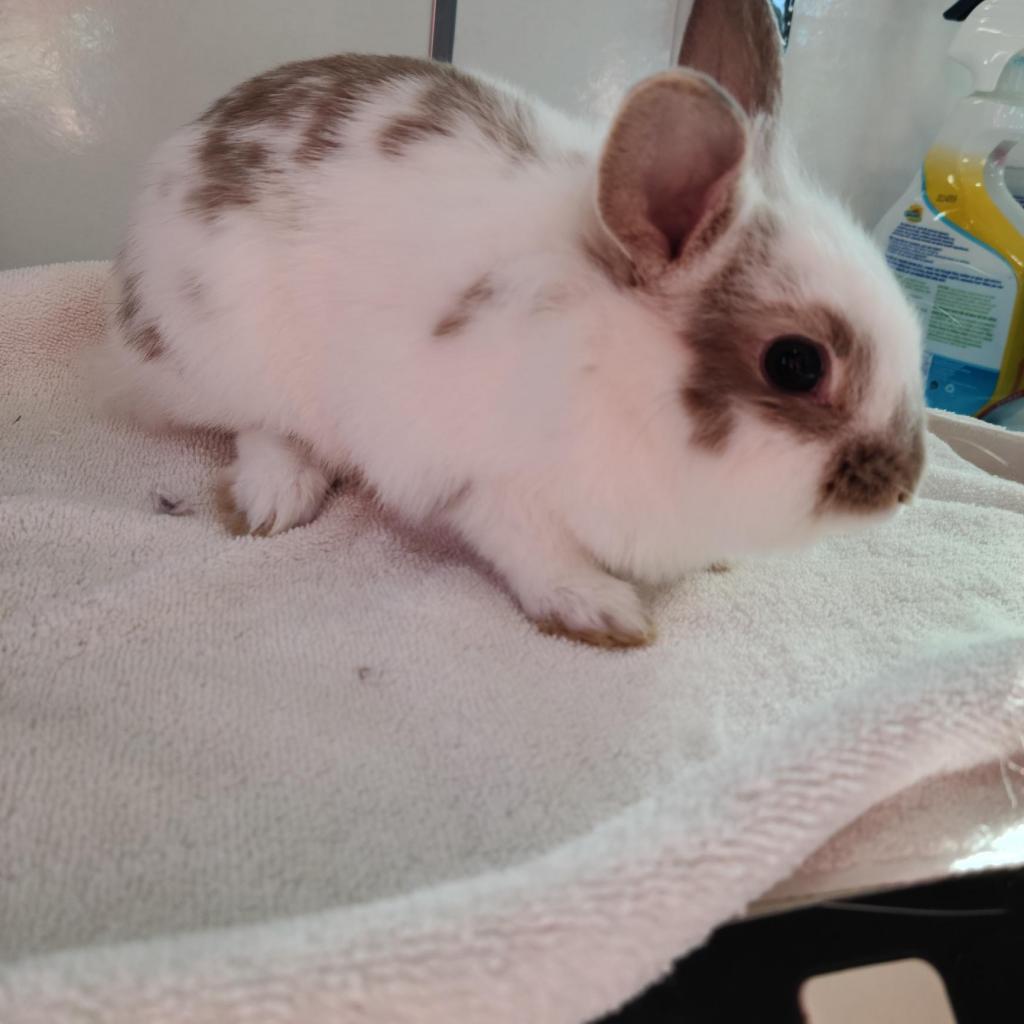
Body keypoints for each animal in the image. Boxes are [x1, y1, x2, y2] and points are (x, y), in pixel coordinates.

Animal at [93, 0, 926, 648]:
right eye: (795, 363)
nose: (904, 486)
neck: (622, 367)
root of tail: (188, 142)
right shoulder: (491, 485)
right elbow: (535, 554)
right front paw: (601, 612)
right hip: (227, 353)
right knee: (258, 426)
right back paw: (277, 494)